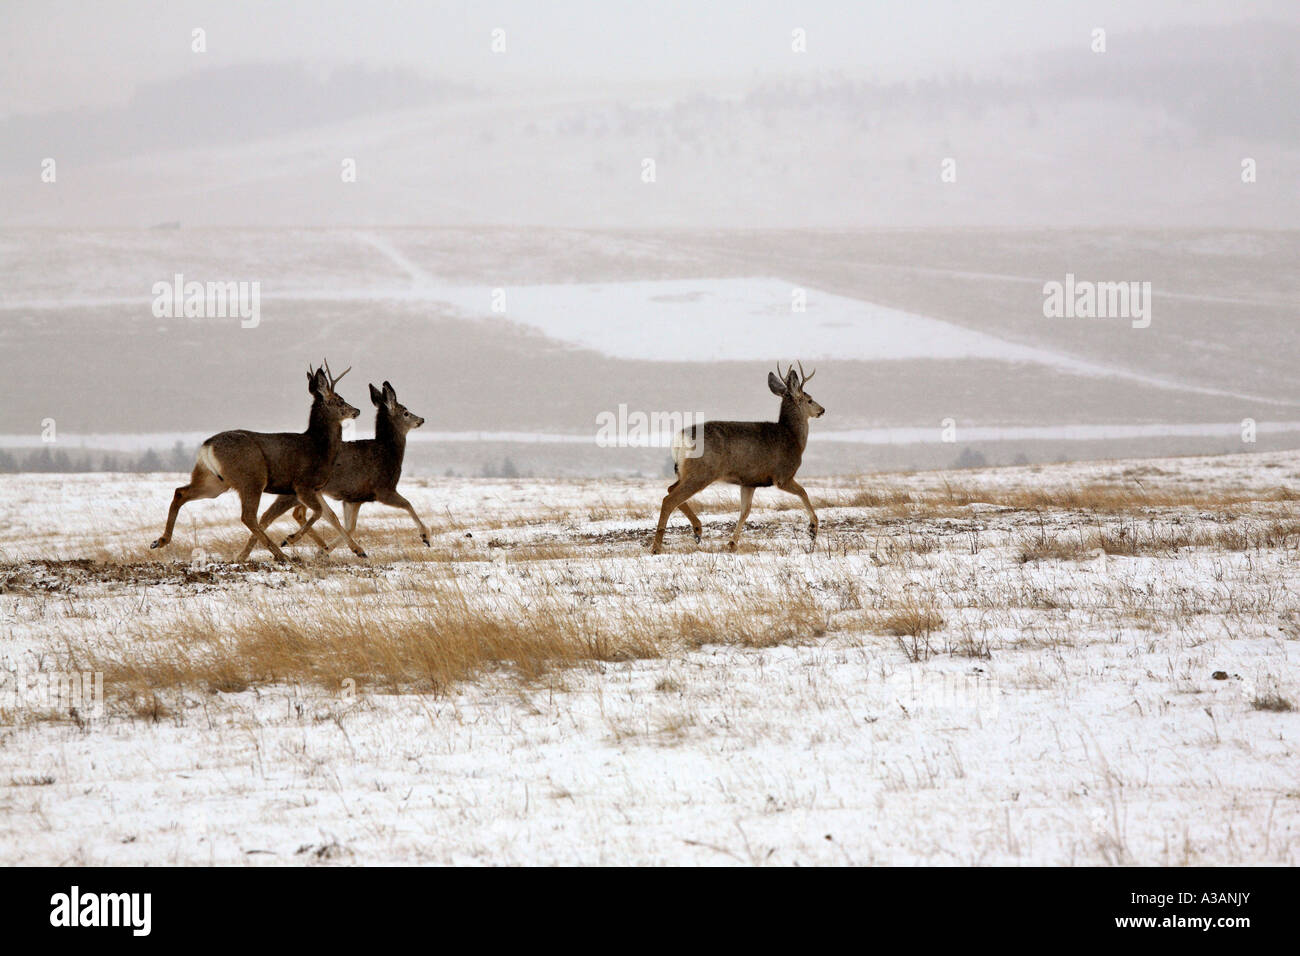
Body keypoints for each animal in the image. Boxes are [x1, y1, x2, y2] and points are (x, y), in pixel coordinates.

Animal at [149, 360, 369, 562]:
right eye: (340, 400)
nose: (357, 410)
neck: (319, 447)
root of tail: (207, 446)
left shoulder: (314, 488)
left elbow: (331, 516)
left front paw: (359, 551)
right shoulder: (302, 484)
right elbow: (317, 513)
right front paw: (291, 538)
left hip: (214, 481)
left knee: (181, 492)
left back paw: (160, 540)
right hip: (251, 478)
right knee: (248, 516)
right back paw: (281, 554)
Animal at [266, 380, 430, 552]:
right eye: (406, 412)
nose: (421, 419)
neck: (387, 452)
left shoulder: (353, 498)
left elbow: (350, 527)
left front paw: (325, 552)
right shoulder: (383, 489)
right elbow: (407, 504)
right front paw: (425, 537)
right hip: (297, 490)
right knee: (277, 514)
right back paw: (289, 541)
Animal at [650, 362, 825, 555]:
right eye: (810, 399)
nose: (822, 410)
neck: (793, 437)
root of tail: (680, 439)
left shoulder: (749, 482)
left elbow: (745, 511)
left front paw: (732, 543)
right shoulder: (782, 476)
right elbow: (803, 492)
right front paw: (813, 529)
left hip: (684, 472)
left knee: (670, 489)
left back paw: (697, 530)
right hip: (701, 472)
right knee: (669, 499)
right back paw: (657, 547)